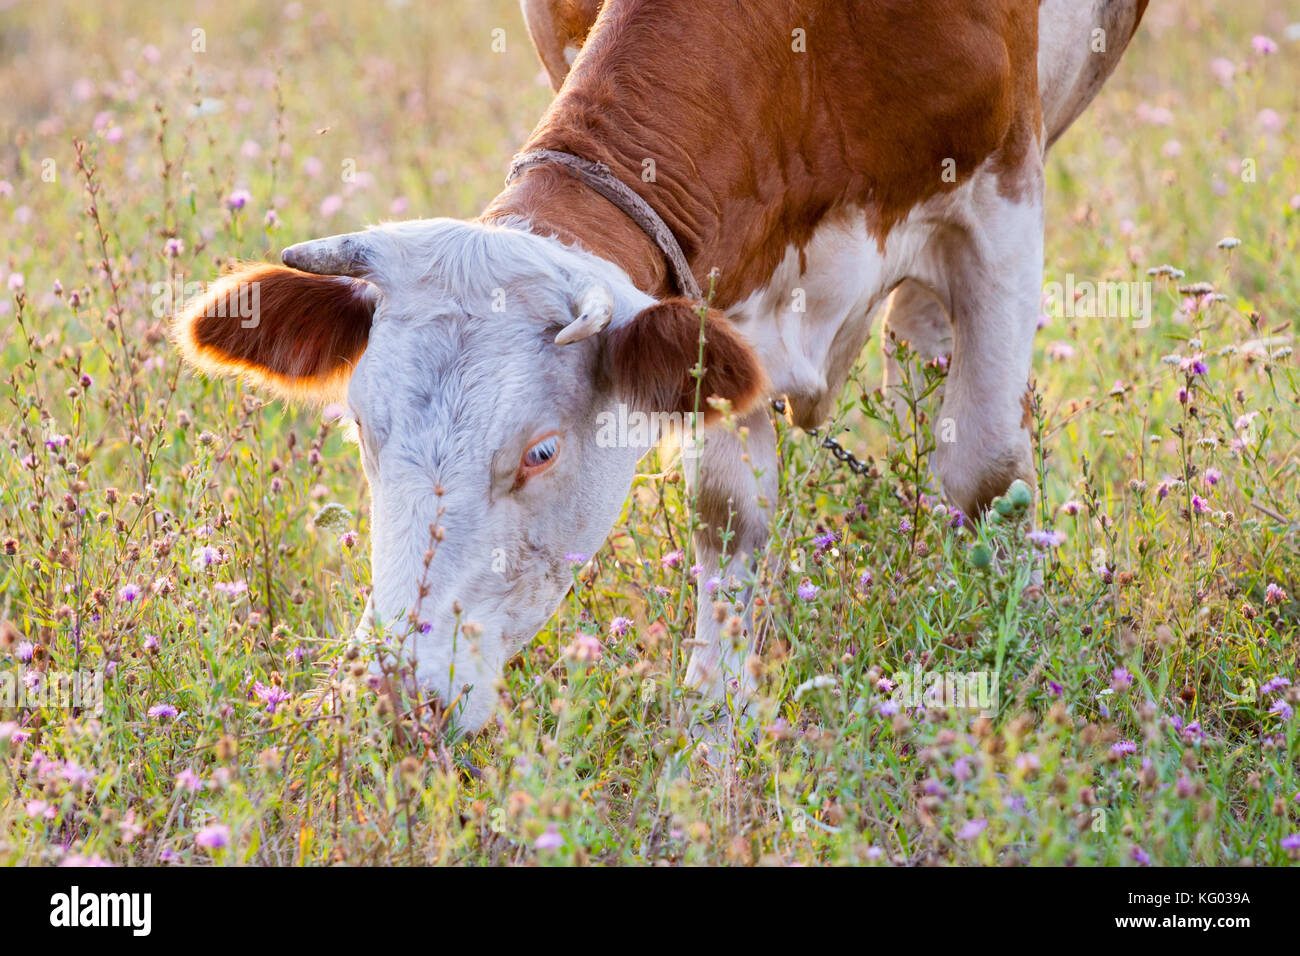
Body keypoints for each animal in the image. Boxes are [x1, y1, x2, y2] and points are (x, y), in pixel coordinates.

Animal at [174, 0, 1149, 735]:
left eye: (540, 453)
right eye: (364, 434)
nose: (400, 694)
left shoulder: (1001, 192)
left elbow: (988, 473)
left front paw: (1007, 668)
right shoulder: (720, 281)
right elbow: (729, 510)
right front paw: (717, 720)